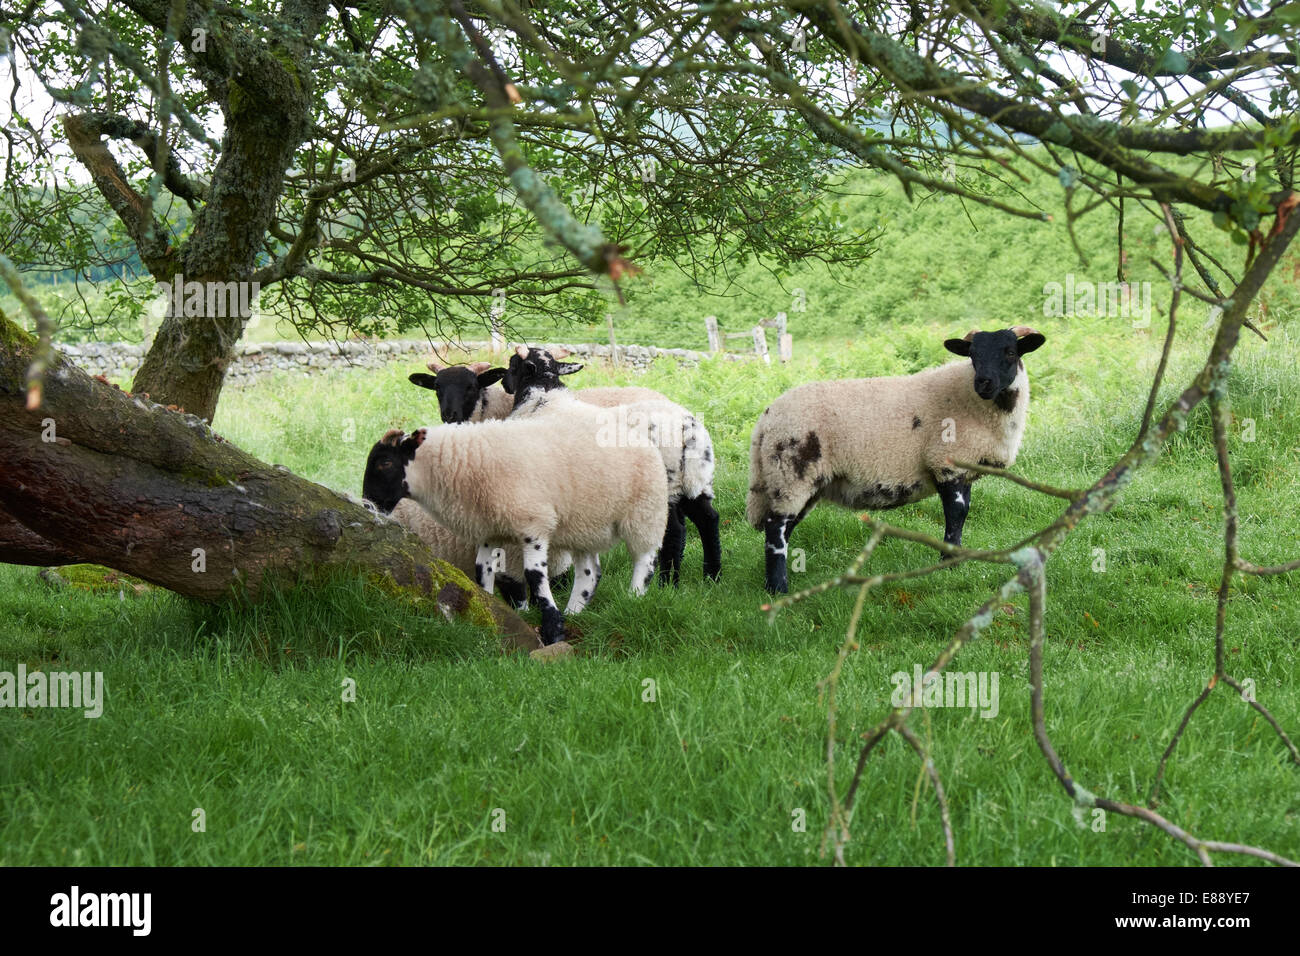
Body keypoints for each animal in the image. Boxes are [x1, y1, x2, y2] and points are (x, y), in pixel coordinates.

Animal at [390, 403, 668, 645]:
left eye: (387, 464)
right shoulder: (493, 532)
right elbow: (487, 573)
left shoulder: (528, 529)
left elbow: (529, 580)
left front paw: (544, 624)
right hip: (585, 526)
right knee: (589, 572)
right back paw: (575, 611)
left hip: (644, 512)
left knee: (645, 559)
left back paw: (633, 596)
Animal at [504, 345, 722, 584]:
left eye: (513, 364)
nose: (503, 383)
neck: (542, 395)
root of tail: (688, 426)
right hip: (692, 481)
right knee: (708, 519)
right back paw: (712, 576)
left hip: (663, 484)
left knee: (674, 531)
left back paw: (667, 584)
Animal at [747, 326, 1046, 593]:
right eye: (972, 354)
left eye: (1010, 352)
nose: (983, 382)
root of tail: (765, 421)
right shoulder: (946, 464)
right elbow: (956, 516)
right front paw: (949, 563)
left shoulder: (961, 468)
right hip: (790, 472)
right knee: (775, 530)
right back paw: (778, 589)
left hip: (798, 481)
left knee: (785, 529)